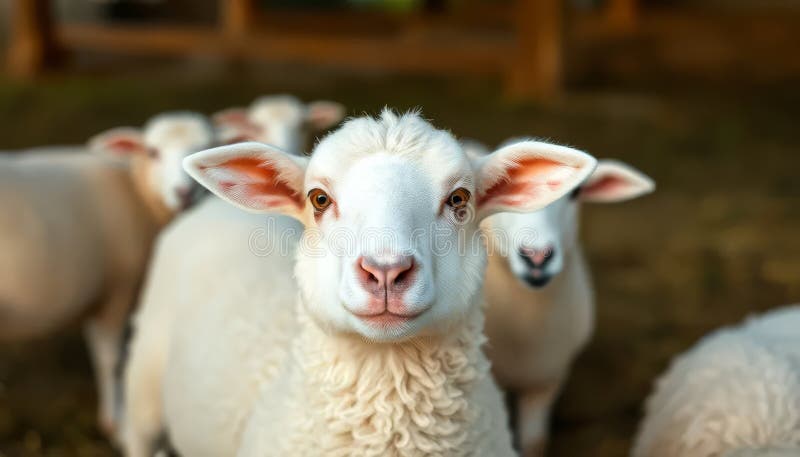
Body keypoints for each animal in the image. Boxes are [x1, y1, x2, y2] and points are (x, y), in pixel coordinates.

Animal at [0, 112, 214, 436]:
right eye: (152, 152)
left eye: (208, 146)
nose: (185, 194)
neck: (136, 193)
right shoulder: (117, 287)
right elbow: (111, 358)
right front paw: (115, 421)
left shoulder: (97, 295)